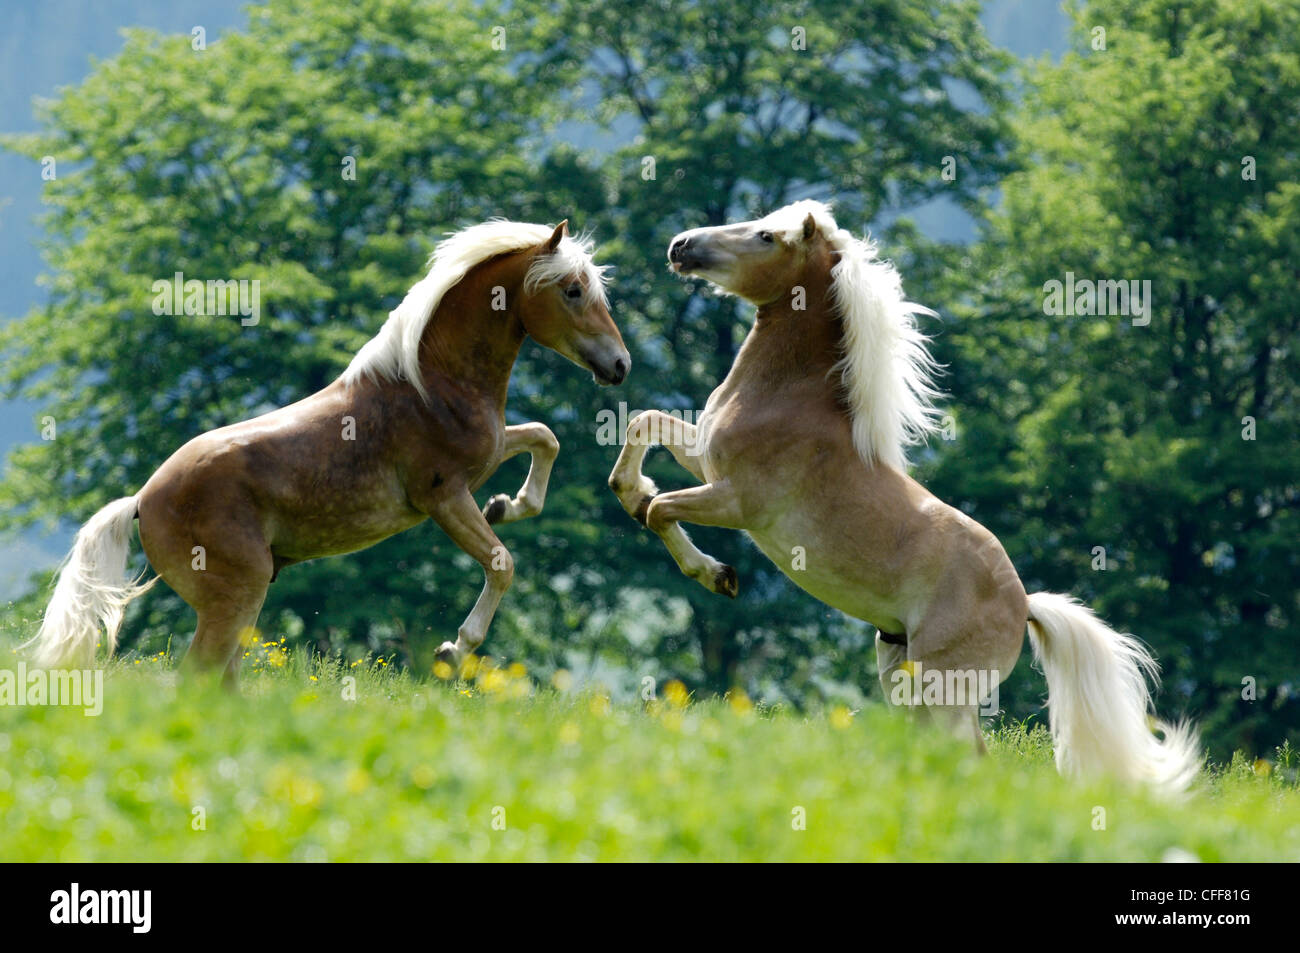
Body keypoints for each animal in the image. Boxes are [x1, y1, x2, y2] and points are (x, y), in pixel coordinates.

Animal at [26, 218, 630, 686]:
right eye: (573, 290)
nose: (621, 364)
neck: (432, 384)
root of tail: (140, 501)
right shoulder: (444, 497)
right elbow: (503, 563)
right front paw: (453, 652)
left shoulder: (491, 451)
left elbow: (545, 437)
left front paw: (509, 504)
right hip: (234, 599)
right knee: (198, 677)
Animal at [609, 200, 1199, 793]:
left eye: (765, 236)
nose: (681, 245)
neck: (784, 399)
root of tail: (1025, 605)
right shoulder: (702, 459)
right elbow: (643, 425)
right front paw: (632, 491)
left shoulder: (734, 502)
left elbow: (661, 511)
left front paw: (716, 575)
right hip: (901, 674)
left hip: (944, 688)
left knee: (973, 755)